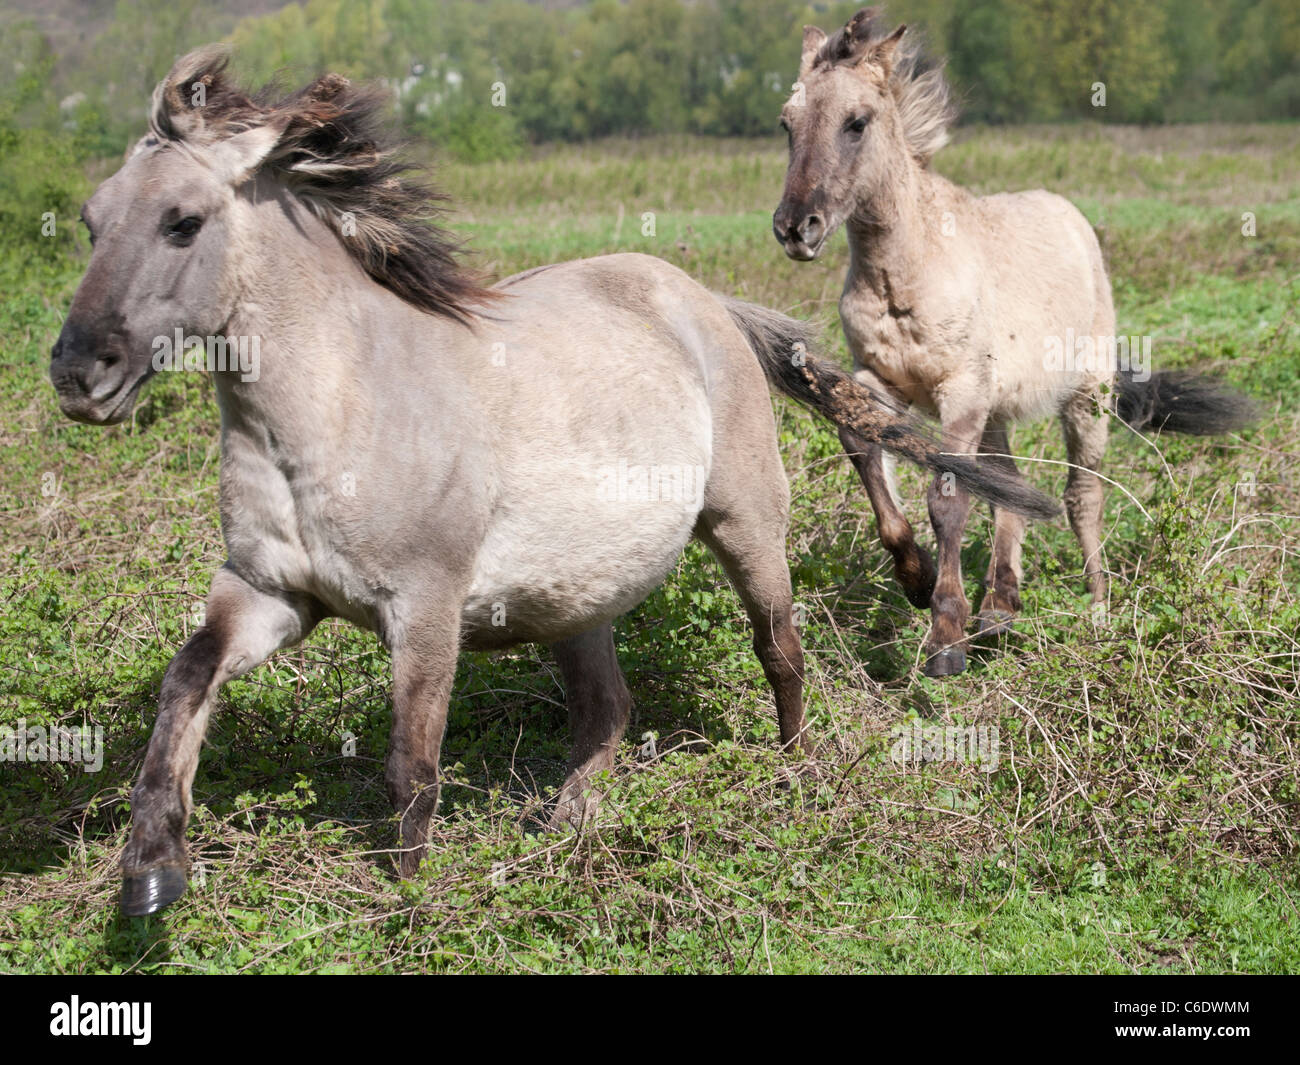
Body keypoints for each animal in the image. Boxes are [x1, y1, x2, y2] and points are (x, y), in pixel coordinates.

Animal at [50, 47, 1057, 916]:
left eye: (183, 222)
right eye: (92, 221)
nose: (78, 372)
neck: (340, 406)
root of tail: (707, 304)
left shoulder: (425, 605)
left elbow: (412, 763)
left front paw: (408, 899)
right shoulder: (268, 592)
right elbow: (185, 683)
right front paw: (151, 875)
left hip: (746, 528)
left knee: (781, 652)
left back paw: (798, 771)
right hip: (578, 598)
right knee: (608, 709)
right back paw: (567, 822)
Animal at [773, 8, 1255, 677]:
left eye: (856, 122)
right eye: (786, 124)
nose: (796, 227)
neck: (907, 268)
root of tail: (1070, 216)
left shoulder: (962, 392)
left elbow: (949, 497)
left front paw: (944, 638)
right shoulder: (883, 382)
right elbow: (864, 450)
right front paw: (917, 579)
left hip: (1084, 398)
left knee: (1081, 496)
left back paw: (1097, 611)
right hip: (998, 409)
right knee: (1009, 484)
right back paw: (1000, 607)